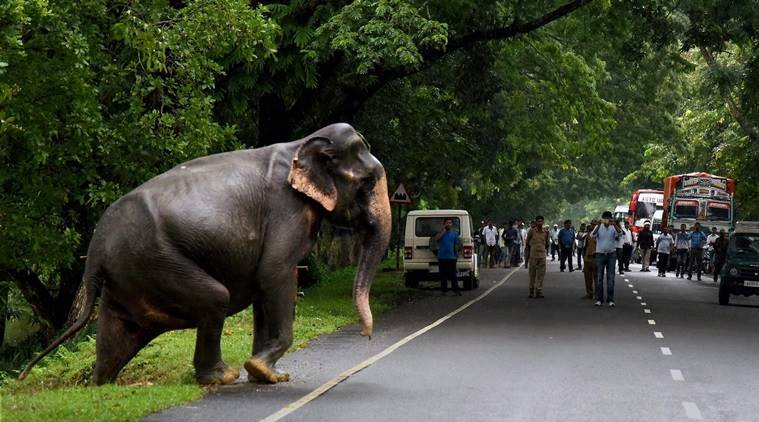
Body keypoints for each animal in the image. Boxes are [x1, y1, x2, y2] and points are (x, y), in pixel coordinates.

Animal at [19, 123, 392, 385]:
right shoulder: (286, 212)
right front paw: (262, 370)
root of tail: (95, 249)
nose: (366, 334)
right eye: (367, 182)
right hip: (155, 260)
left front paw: (264, 374)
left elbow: (263, 288)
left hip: (126, 276)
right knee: (214, 299)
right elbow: (275, 273)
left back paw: (101, 383)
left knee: (117, 333)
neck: (302, 143)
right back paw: (221, 376)